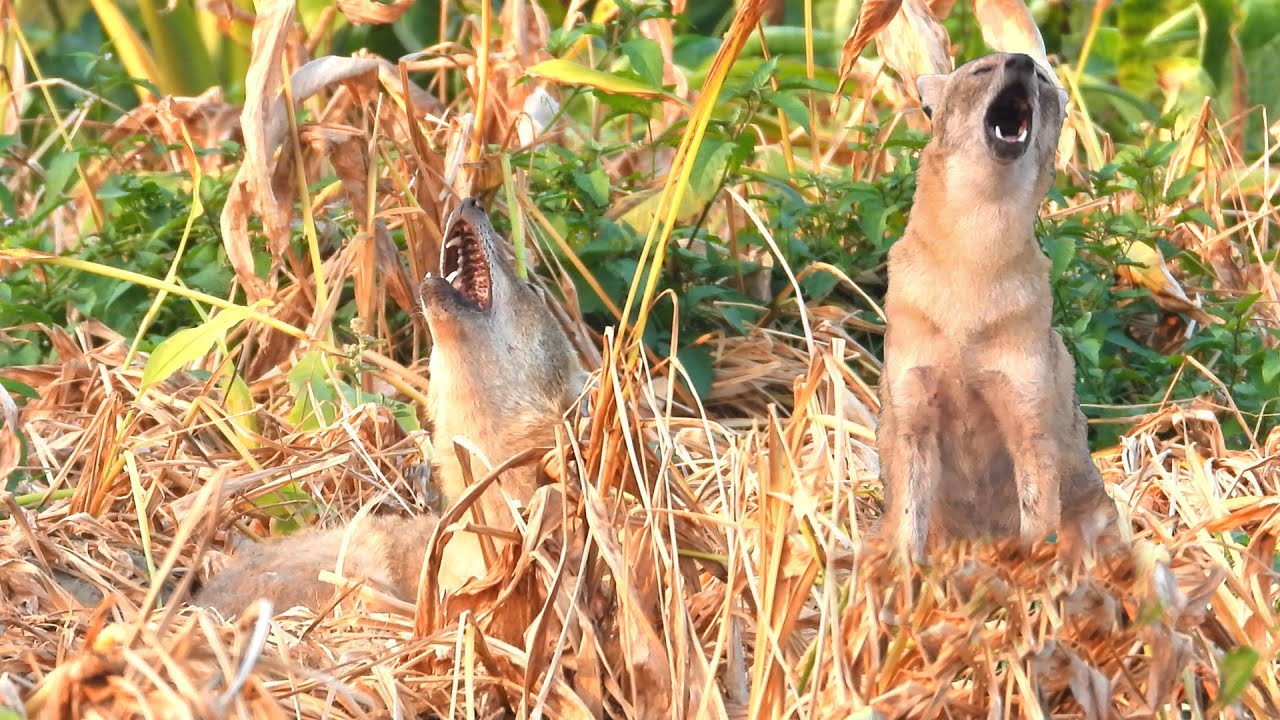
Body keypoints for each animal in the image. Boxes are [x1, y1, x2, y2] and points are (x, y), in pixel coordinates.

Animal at [875, 53, 1116, 562]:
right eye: (982, 70)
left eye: (1040, 78)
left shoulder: (1029, 431)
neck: (974, 263)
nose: (1022, 61)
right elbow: (909, 533)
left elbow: (1037, 533)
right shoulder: (914, 425)